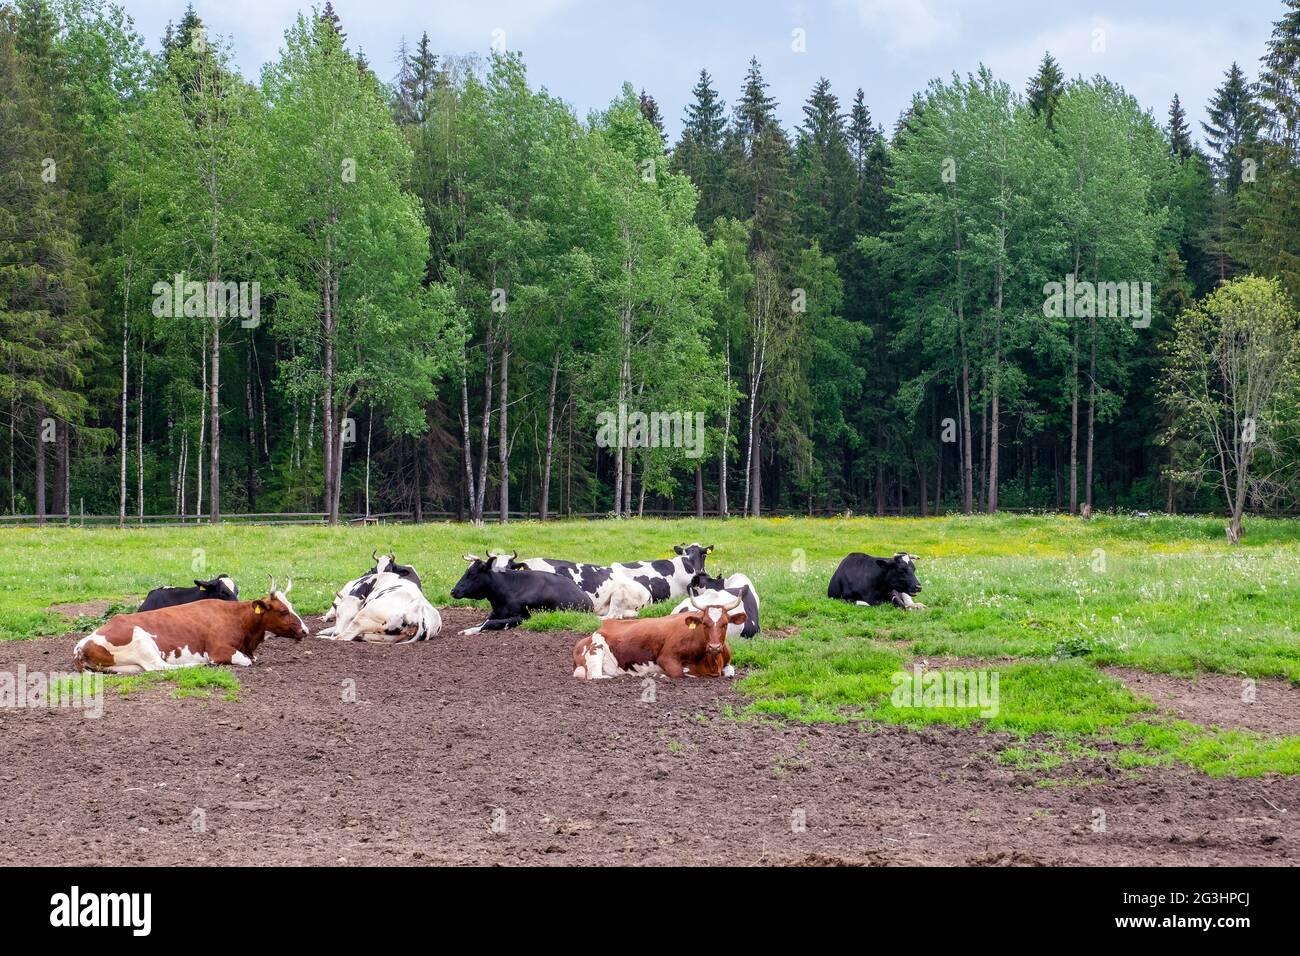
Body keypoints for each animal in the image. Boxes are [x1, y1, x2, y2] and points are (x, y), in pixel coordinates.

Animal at [75, 580, 308, 673]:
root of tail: (81, 645)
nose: (305, 630)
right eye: (282, 611)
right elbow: (246, 661)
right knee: (159, 667)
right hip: (142, 641)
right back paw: (196, 664)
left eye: (291, 606)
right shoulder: (219, 651)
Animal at [451, 555, 595, 634]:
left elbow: (490, 622)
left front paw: (471, 631)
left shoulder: (523, 616)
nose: (453, 591)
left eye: (472, 574)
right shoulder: (496, 612)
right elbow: (485, 620)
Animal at [572, 592, 744, 680]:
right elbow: (681, 673)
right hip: (596, 648)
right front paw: (660, 674)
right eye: (705, 623)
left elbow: (730, 672)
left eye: (725, 624)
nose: (714, 647)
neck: (711, 661)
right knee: (594, 675)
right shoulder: (666, 658)